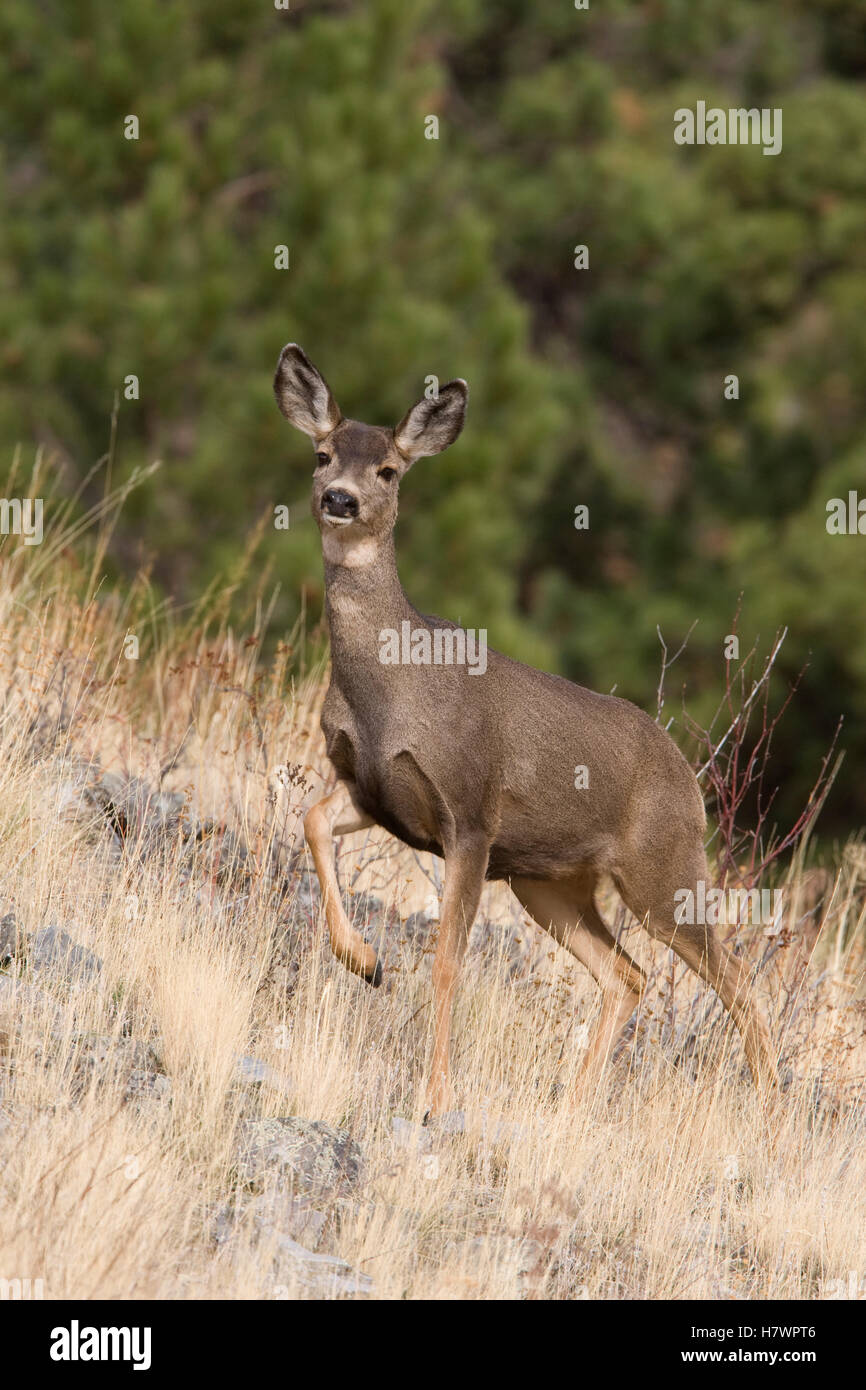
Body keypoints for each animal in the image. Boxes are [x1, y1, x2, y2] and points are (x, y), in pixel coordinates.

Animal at [273, 343, 779, 1118]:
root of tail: (690, 777)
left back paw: (772, 1112)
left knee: (738, 979)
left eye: (388, 468)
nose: (340, 499)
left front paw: (434, 1095)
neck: (389, 687)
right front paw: (363, 960)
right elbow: (312, 820)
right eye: (322, 454)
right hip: (550, 883)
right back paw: (574, 1104)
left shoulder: (472, 812)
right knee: (629, 974)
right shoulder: (371, 790)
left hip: (662, 867)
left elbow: (448, 961)